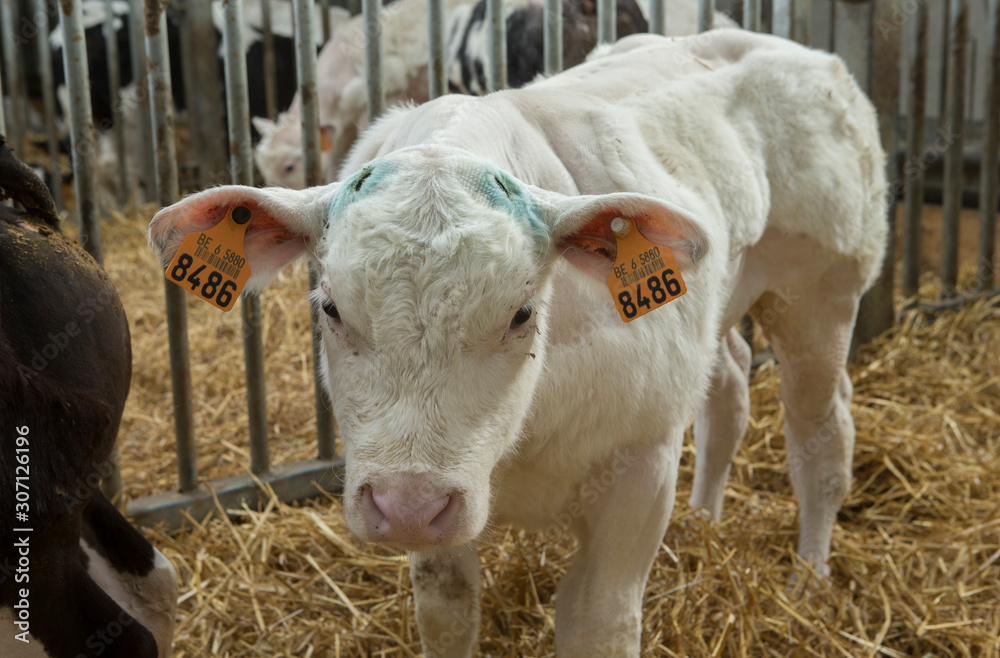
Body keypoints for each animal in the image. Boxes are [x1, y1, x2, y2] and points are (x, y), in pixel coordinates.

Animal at [149, 30, 887, 656]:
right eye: (330, 308)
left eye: (522, 314)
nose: (406, 506)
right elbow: (448, 614)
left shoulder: (640, 464)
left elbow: (598, 621)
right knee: (728, 383)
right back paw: (705, 520)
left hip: (820, 293)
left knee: (822, 432)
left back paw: (809, 578)